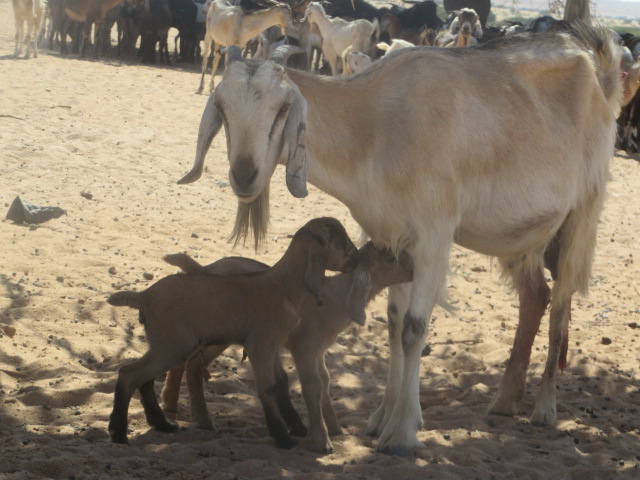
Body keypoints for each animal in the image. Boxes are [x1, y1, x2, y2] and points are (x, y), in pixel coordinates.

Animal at [106, 217, 359, 447]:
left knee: (143, 377)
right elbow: (268, 388)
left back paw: (161, 424)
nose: (358, 260)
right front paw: (283, 437)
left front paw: (294, 429)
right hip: (174, 345)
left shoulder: (272, 345)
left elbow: (280, 383)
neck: (284, 285)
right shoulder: (260, 344)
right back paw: (119, 433)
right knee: (130, 374)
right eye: (343, 242)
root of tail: (144, 296)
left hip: (164, 343)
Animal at [161, 242, 413, 453]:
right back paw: (201, 419)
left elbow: (326, 379)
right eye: (390, 259)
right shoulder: (305, 346)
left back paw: (172, 405)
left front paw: (334, 428)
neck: (335, 297)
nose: (413, 268)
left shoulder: (318, 349)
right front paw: (322, 441)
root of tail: (203, 268)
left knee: (186, 360)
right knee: (194, 362)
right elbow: (313, 385)